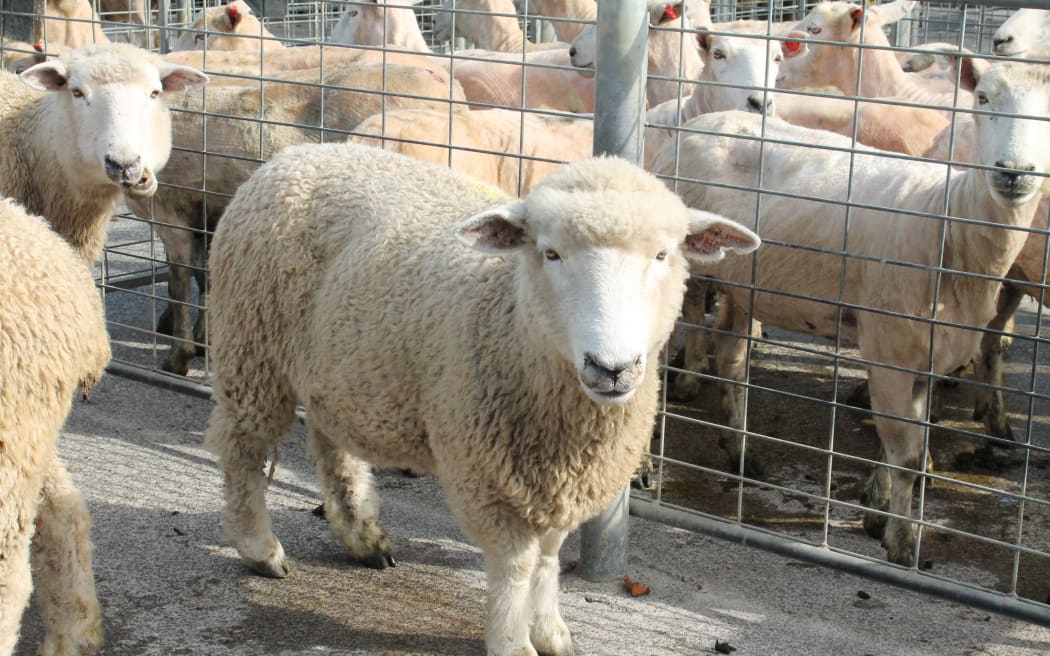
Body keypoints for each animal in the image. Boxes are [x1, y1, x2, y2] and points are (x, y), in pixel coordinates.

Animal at [128, 60, 466, 375]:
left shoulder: (170, 211)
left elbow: (180, 283)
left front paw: (179, 357)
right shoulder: (204, 213)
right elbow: (203, 276)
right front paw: (203, 340)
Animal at [204, 143, 760, 656]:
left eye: (663, 255)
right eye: (550, 253)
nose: (612, 368)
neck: (514, 320)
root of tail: (296, 153)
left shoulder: (562, 478)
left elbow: (548, 557)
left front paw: (552, 632)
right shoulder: (484, 474)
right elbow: (515, 566)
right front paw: (513, 642)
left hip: (338, 368)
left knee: (333, 447)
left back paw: (362, 536)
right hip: (252, 349)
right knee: (241, 450)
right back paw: (259, 548)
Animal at [651, 56, 1050, 566]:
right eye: (982, 98)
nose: (1015, 172)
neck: (950, 226)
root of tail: (694, 126)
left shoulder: (927, 356)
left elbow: (910, 447)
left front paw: (879, 511)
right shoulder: (890, 349)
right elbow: (906, 457)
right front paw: (901, 543)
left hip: (745, 284)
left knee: (732, 357)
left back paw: (740, 452)